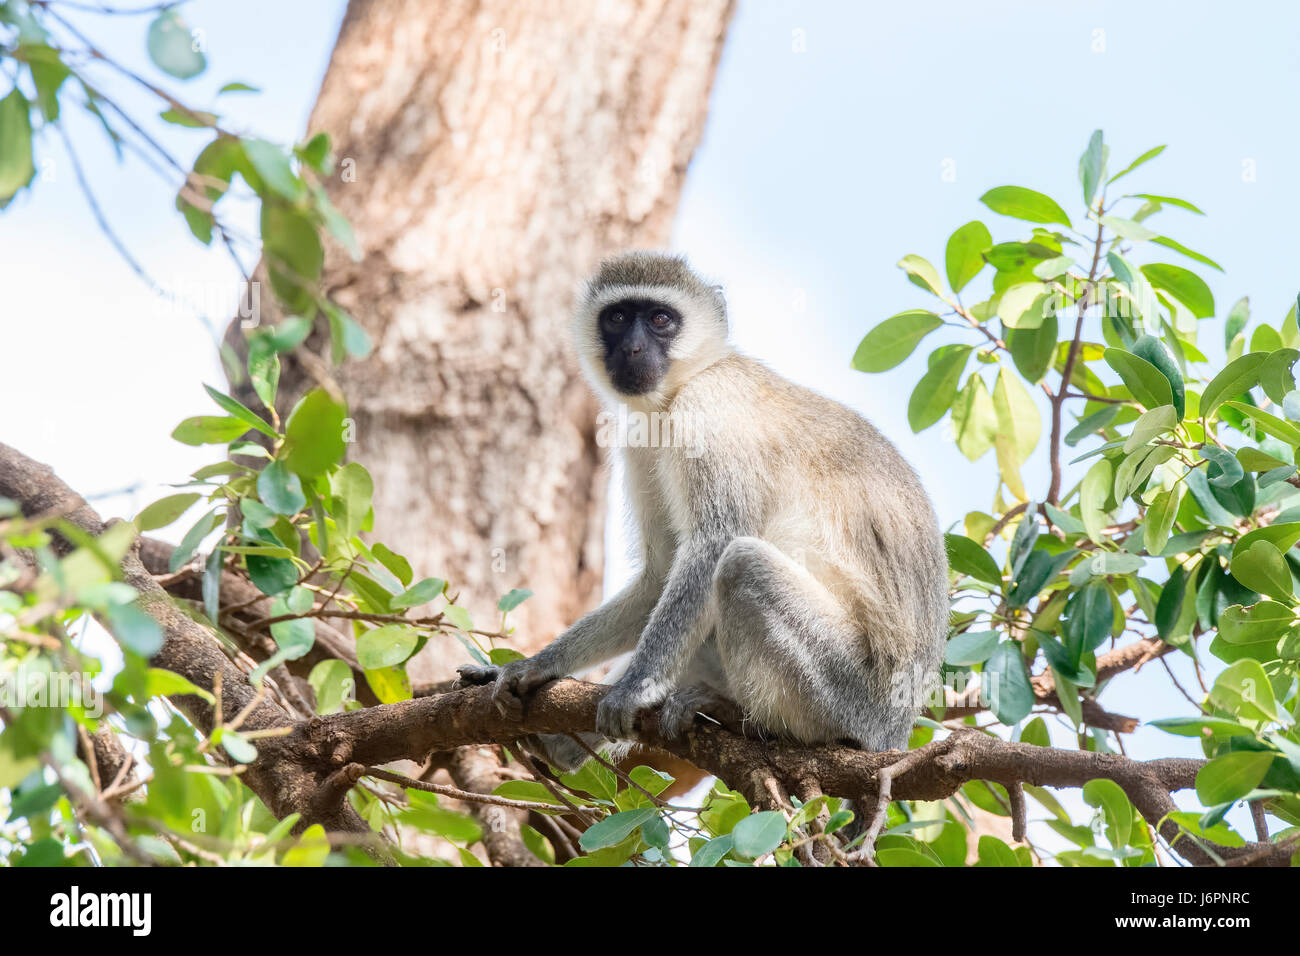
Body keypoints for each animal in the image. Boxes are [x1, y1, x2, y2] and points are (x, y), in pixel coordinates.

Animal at [458, 252, 948, 772]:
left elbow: (714, 545)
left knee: (741, 566)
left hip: (852, 691)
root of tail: (895, 730)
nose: (632, 349)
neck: (682, 386)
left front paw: (637, 690)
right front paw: (535, 666)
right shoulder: (640, 439)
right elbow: (659, 575)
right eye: (617, 318)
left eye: (660, 319)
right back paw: (562, 747)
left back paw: (745, 715)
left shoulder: (709, 409)